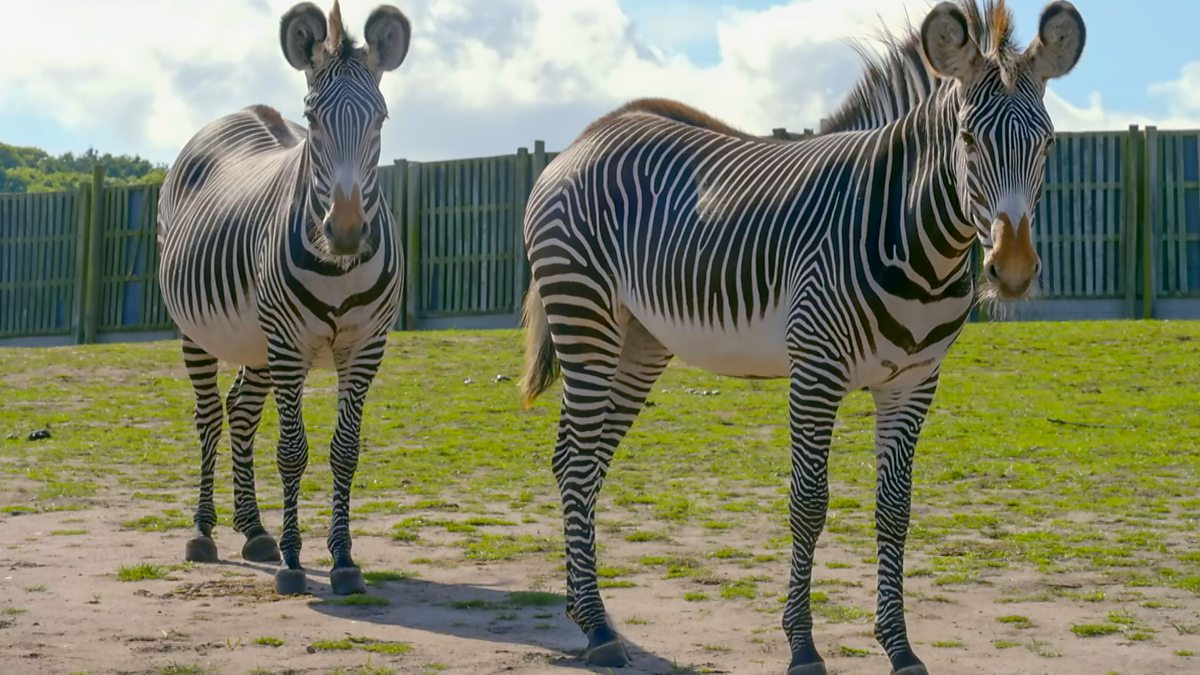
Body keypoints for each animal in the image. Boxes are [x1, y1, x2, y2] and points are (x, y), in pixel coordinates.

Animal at [156, 1, 410, 596]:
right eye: (313, 121)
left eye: (381, 119)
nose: (345, 232)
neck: (339, 266)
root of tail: (236, 115)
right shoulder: (291, 345)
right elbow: (293, 453)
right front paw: (295, 564)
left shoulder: (365, 347)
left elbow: (345, 452)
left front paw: (343, 560)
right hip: (201, 332)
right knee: (210, 416)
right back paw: (203, 532)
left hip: (258, 342)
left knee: (242, 412)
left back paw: (253, 530)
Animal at [519, 1, 1084, 673]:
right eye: (968, 140)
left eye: (1047, 143)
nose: (1014, 272)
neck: (914, 242)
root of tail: (588, 137)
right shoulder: (816, 371)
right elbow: (809, 504)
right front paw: (803, 645)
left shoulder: (914, 383)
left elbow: (895, 511)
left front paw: (900, 647)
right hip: (586, 320)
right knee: (579, 465)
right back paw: (601, 630)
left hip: (639, 342)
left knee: (575, 460)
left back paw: (585, 615)